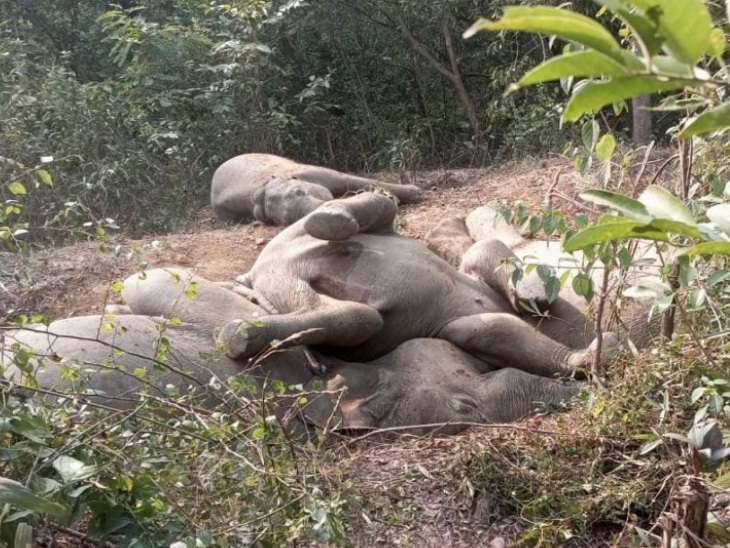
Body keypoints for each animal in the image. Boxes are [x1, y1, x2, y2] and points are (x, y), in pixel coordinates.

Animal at [220, 193, 616, 380]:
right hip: (288, 248)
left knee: (355, 315)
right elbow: (483, 255)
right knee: (376, 209)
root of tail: (254, 272)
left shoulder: (458, 319)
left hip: (283, 276)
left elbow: (490, 327)